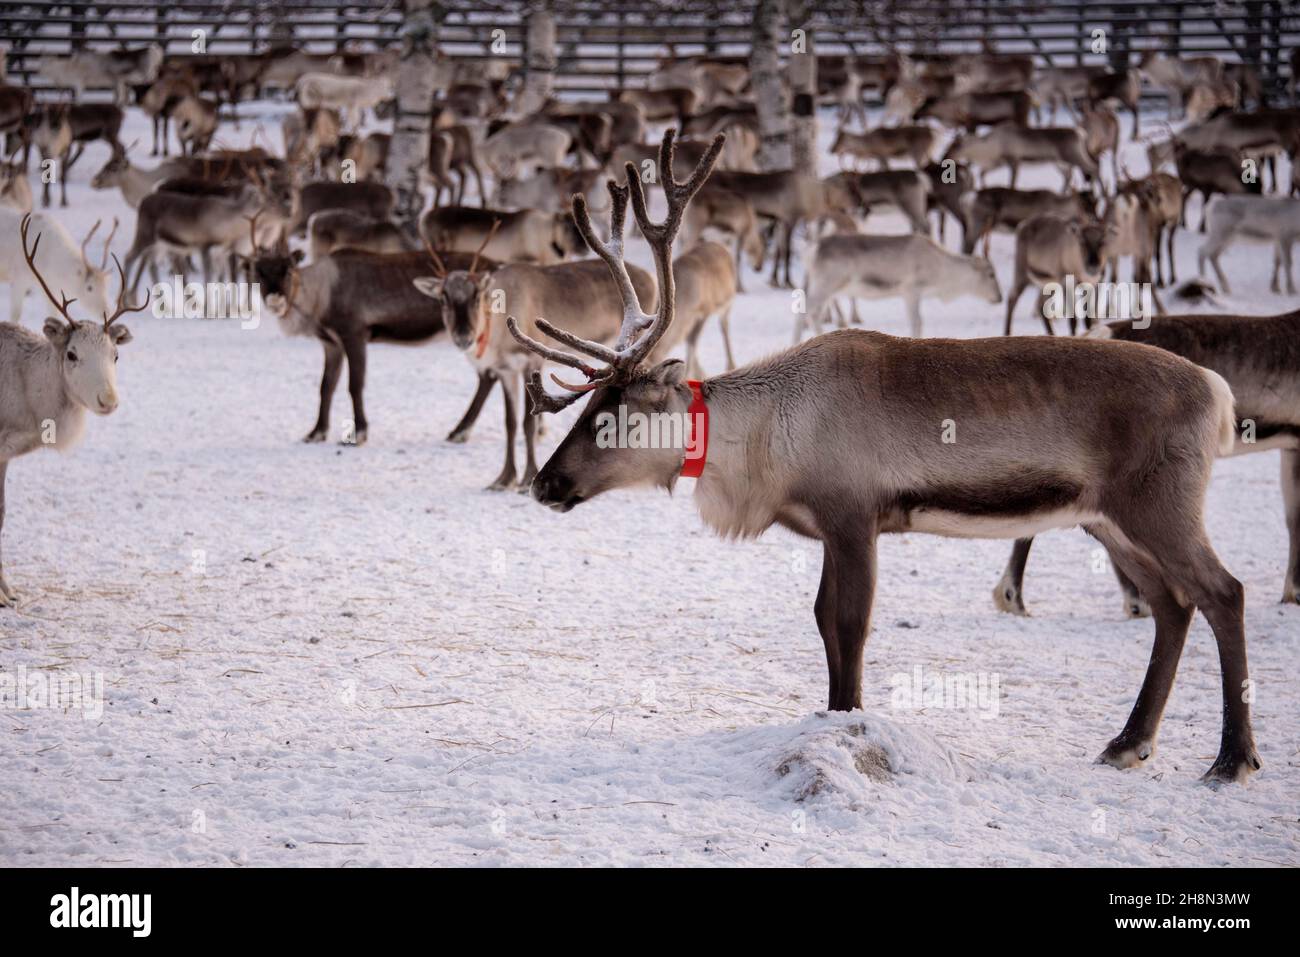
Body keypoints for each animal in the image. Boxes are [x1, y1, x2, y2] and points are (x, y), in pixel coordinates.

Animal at [798, 232, 1001, 341]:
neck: (943, 272)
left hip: (828, 289)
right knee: (804, 311)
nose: (999, 297)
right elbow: (917, 322)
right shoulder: (911, 290)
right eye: (991, 274)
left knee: (813, 313)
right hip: (826, 284)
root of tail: (810, 250)